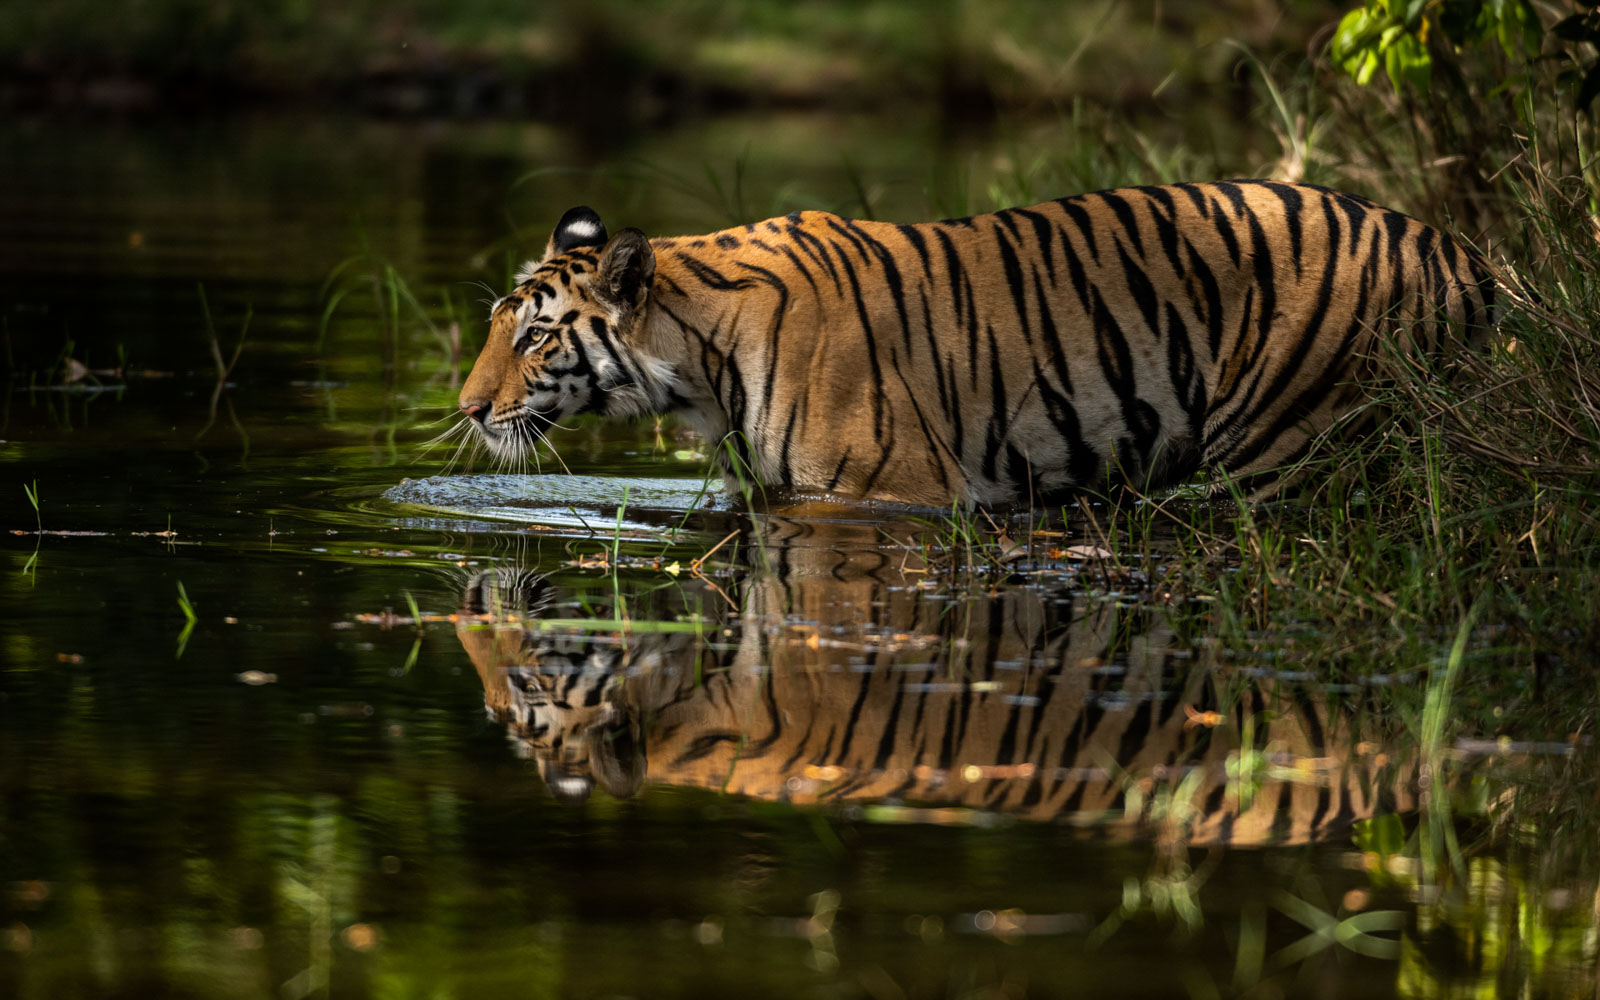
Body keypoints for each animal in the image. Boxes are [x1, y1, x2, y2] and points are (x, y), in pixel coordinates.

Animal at [457, 181, 1497, 505]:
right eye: (498, 326)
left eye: (538, 336)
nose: (466, 409)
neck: (701, 370)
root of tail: (1456, 248)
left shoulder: (880, 498)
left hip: (1279, 449)